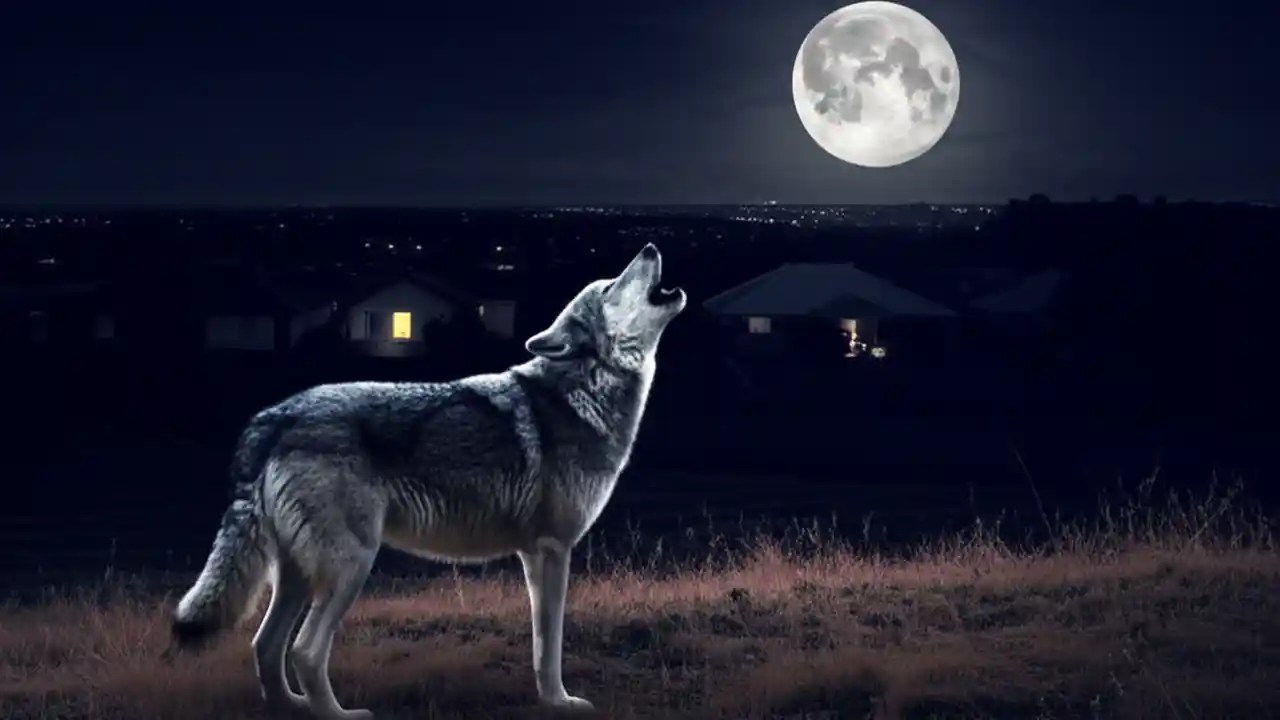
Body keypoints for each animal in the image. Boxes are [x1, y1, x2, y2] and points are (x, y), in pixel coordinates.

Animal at [169, 243, 686, 719]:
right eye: (610, 286)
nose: (649, 247)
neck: (585, 390)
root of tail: (274, 417)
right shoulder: (552, 549)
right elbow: (549, 644)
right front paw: (559, 701)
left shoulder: (535, 554)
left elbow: (542, 642)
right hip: (351, 566)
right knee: (305, 651)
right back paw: (340, 714)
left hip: (298, 576)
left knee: (265, 645)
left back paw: (291, 708)